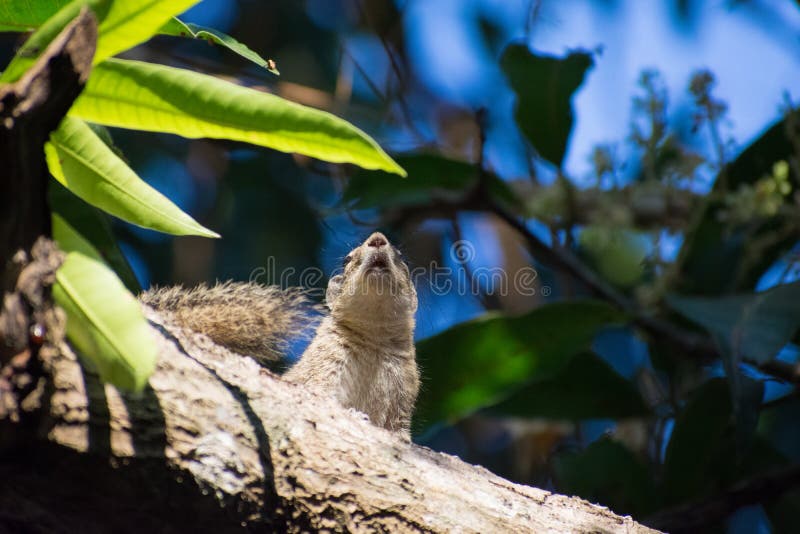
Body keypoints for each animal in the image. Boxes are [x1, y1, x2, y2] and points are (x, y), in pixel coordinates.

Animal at [141, 232, 420, 437]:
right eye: (347, 260)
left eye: (402, 258)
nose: (377, 238)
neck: (374, 334)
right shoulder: (323, 363)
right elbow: (321, 395)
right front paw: (354, 415)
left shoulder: (404, 389)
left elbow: (399, 432)